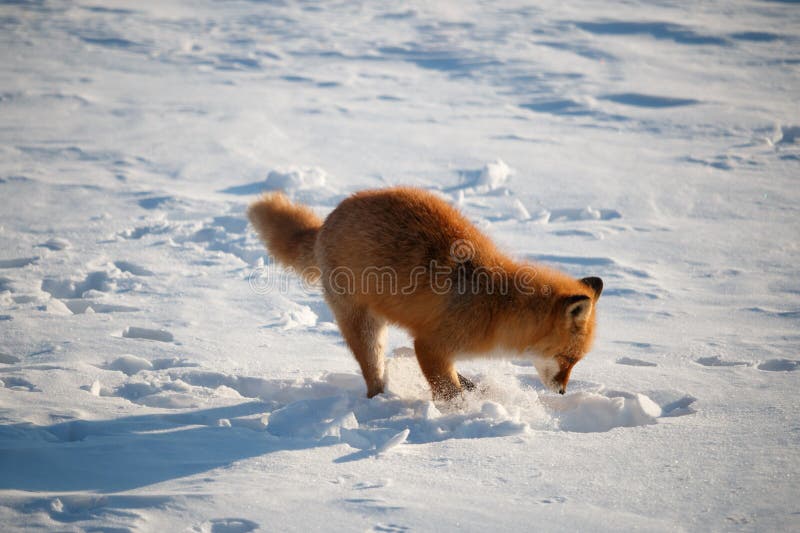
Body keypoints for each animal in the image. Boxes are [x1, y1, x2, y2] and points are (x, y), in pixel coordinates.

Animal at [247, 187, 603, 401]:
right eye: (568, 359)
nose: (562, 392)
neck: (498, 306)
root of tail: (328, 220)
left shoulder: (436, 348)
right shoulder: (431, 345)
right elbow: (449, 394)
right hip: (366, 330)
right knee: (374, 379)